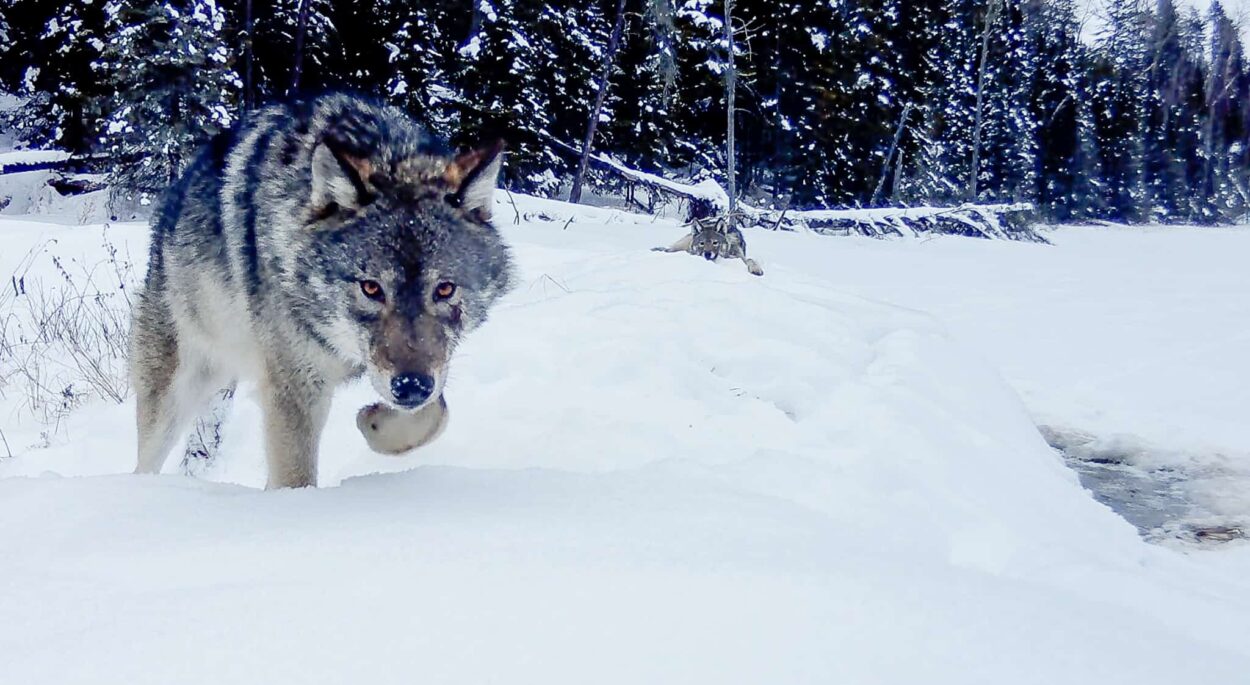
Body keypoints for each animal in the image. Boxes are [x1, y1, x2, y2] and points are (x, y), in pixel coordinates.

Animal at [130, 92, 515, 488]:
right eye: (371, 288)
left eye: (445, 289)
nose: (410, 386)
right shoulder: (295, 386)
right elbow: (296, 478)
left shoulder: (431, 365)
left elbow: (437, 412)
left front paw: (375, 422)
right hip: (179, 386)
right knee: (144, 460)